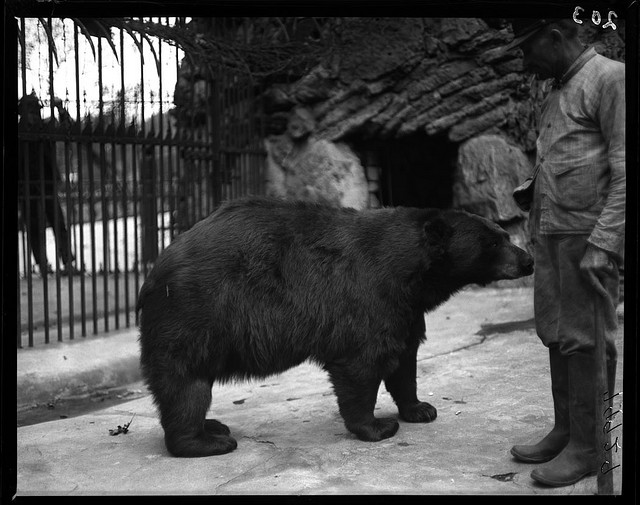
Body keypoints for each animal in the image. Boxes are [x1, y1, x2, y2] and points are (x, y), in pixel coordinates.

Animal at [137, 196, 533, 457]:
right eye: (493, 241)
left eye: (502, 234)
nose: (528, 259)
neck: (409, 273)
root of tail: (154, 272)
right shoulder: (367, 295)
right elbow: (361, 363)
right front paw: (378, 426)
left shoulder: (404, 309)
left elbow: (404, 360)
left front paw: (421, 409)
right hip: (196, 311)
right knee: (185, 383)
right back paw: (207, 441)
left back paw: (214, 426)